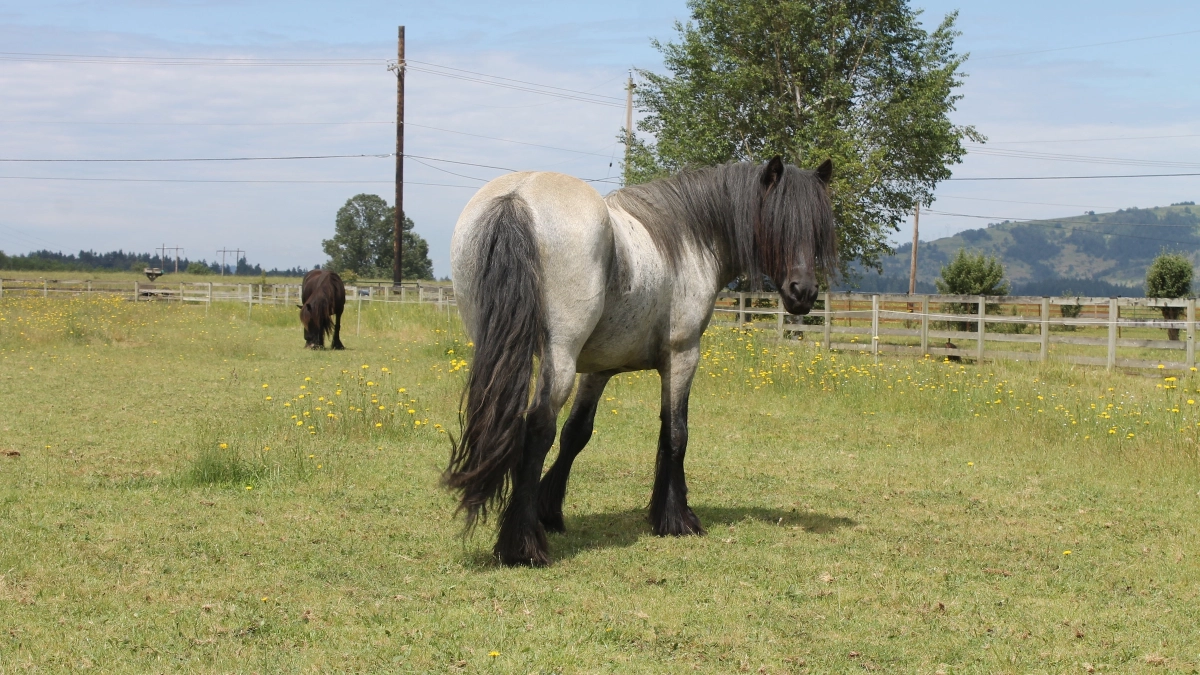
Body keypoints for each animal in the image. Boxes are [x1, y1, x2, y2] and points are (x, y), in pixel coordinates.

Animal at [447, 157, 837, 566]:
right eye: (777, 223)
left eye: (816, 229)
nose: (803, 293)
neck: (687, 242)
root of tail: (518, 195)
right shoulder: (682, 356)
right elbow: (676, 433)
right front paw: (676, 518)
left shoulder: (598, 370)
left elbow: (577, 433)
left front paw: (549, 510)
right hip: (560, 356)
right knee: (538, 428)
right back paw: (523, 545)